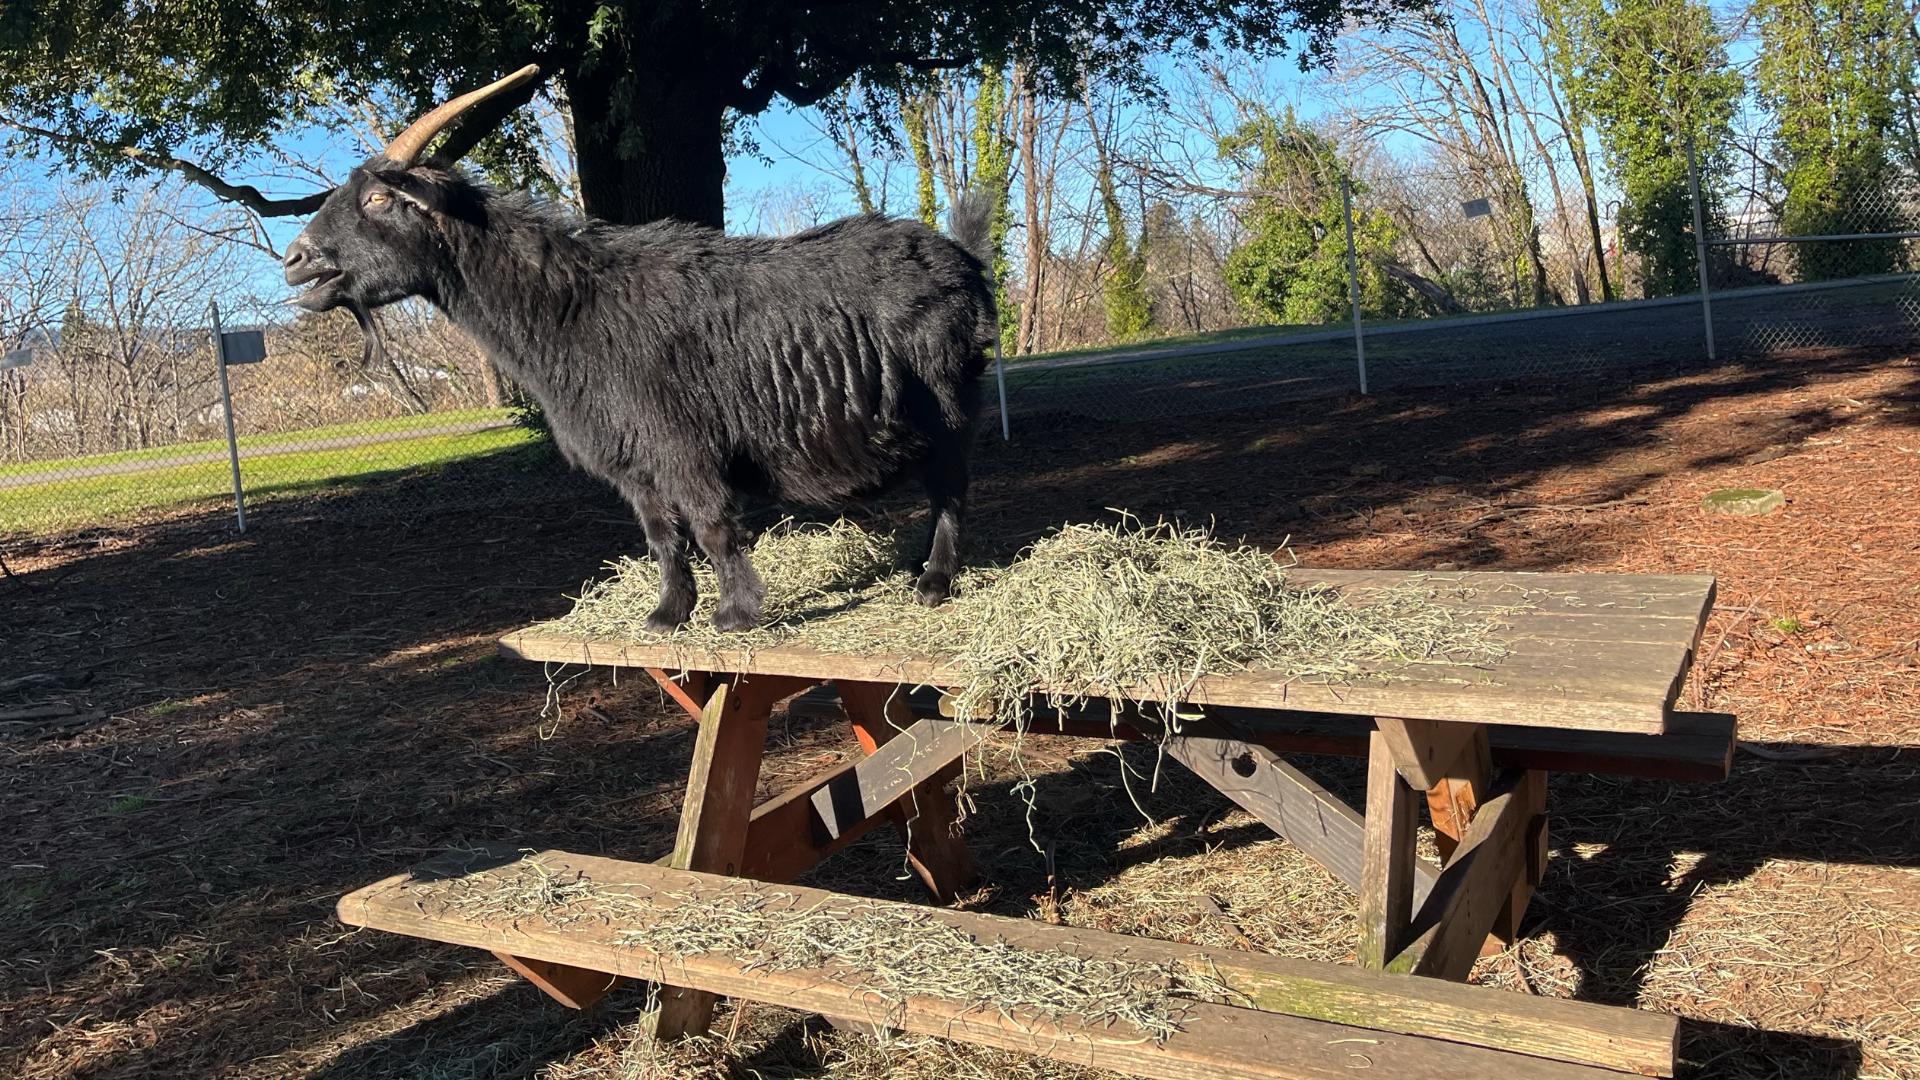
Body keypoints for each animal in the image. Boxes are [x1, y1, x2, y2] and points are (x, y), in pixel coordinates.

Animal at [283, 66, 998, 632]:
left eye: (379, 197)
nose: (295, 260)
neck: (569, 308)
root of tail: (963, 258)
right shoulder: (630, 457)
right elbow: (660, 536)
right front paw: (667, 614)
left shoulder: (681, 444)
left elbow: (712, 525)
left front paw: (736, 614)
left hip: (950, 402)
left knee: (952, 486)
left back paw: (934, 581)